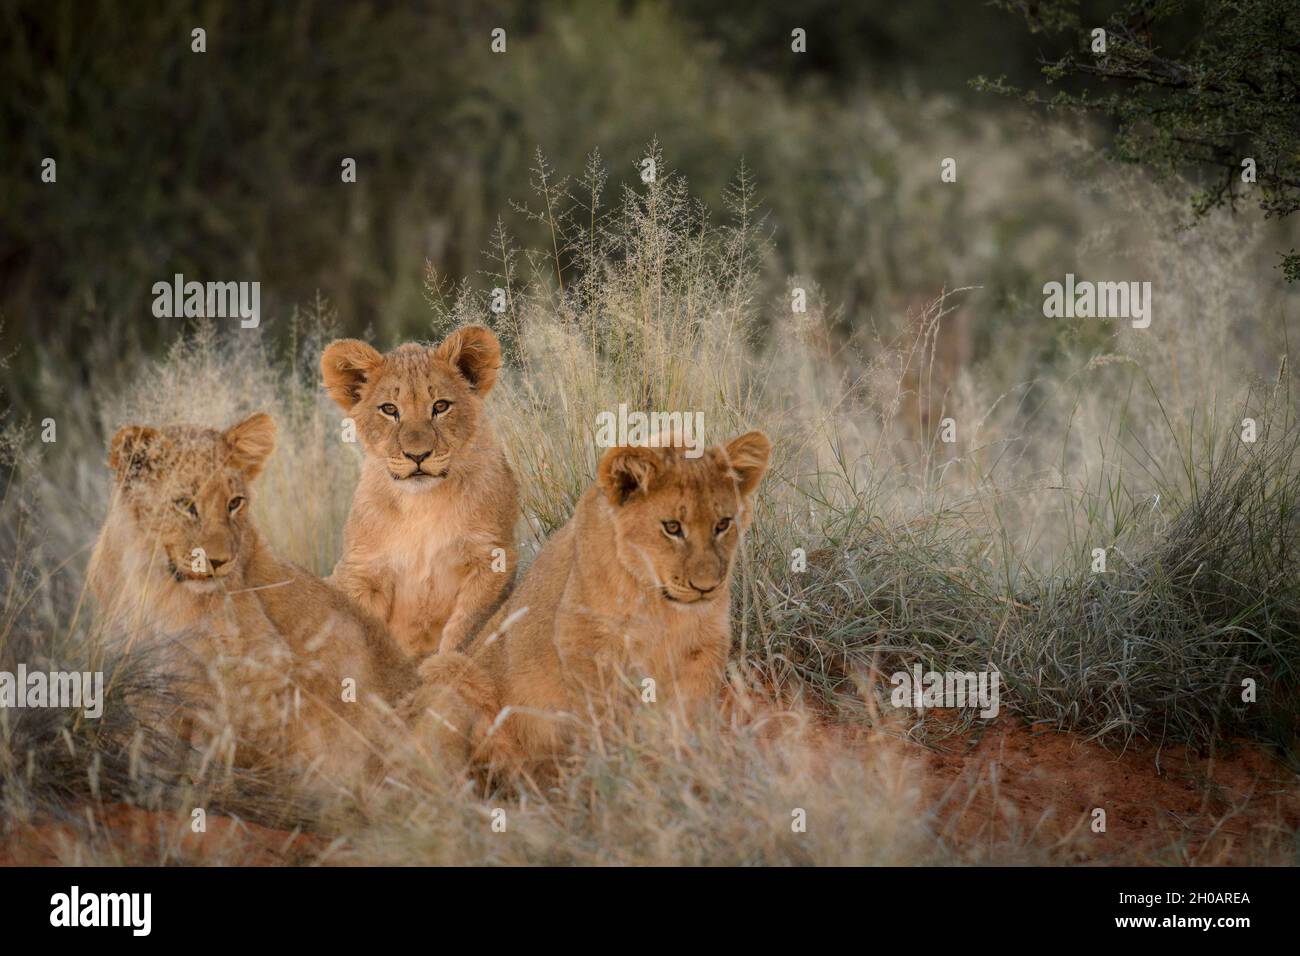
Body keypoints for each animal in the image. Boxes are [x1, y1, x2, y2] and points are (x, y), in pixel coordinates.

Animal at [87, 412, 418, 780]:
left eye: (234, 503)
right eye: (185, 505)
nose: (219, 561)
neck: (149, 580)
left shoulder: (264, 667)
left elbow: (227, 738)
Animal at [320, 326, 520, 660]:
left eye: (440, 406)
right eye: (389, 409)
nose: (417, 455)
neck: (423, 503)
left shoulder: (492, 557)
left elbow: (463, 631)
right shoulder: (361, 572)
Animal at [409, 430, 772, 779]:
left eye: (723, 524)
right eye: (672, 527)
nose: (707, 587)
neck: (662, 605)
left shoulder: (706, 645)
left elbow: (691, 713)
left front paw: (691, 760)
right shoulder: (582, 639)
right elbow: (600, 715)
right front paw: (612, 766)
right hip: (447, 673)